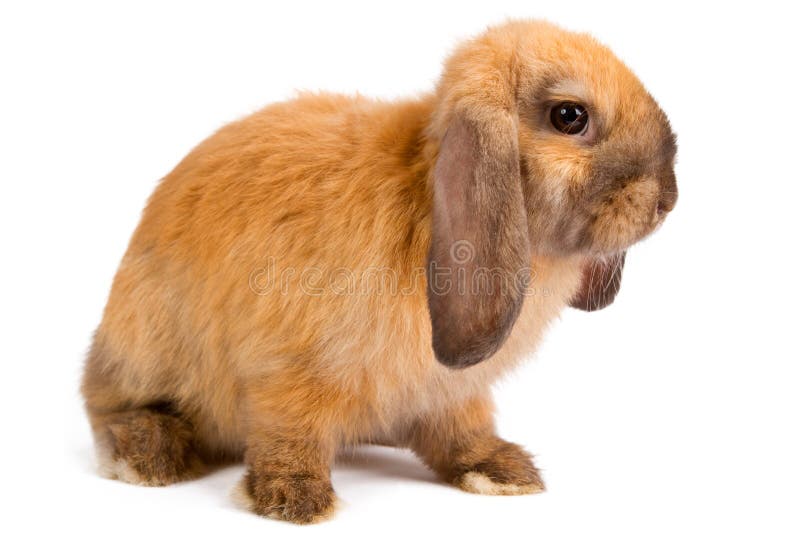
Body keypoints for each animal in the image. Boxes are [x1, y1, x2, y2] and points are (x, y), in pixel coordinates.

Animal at [81, 19, 677, 523]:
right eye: (569, 116)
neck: (423, 194)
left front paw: (503, 472)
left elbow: (464, 430)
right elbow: (288, 430)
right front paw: (295, 501)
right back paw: (149, 453)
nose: (667, 200)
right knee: (106, 404)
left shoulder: (452, 390)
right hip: (147, 345)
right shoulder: (289, 368)